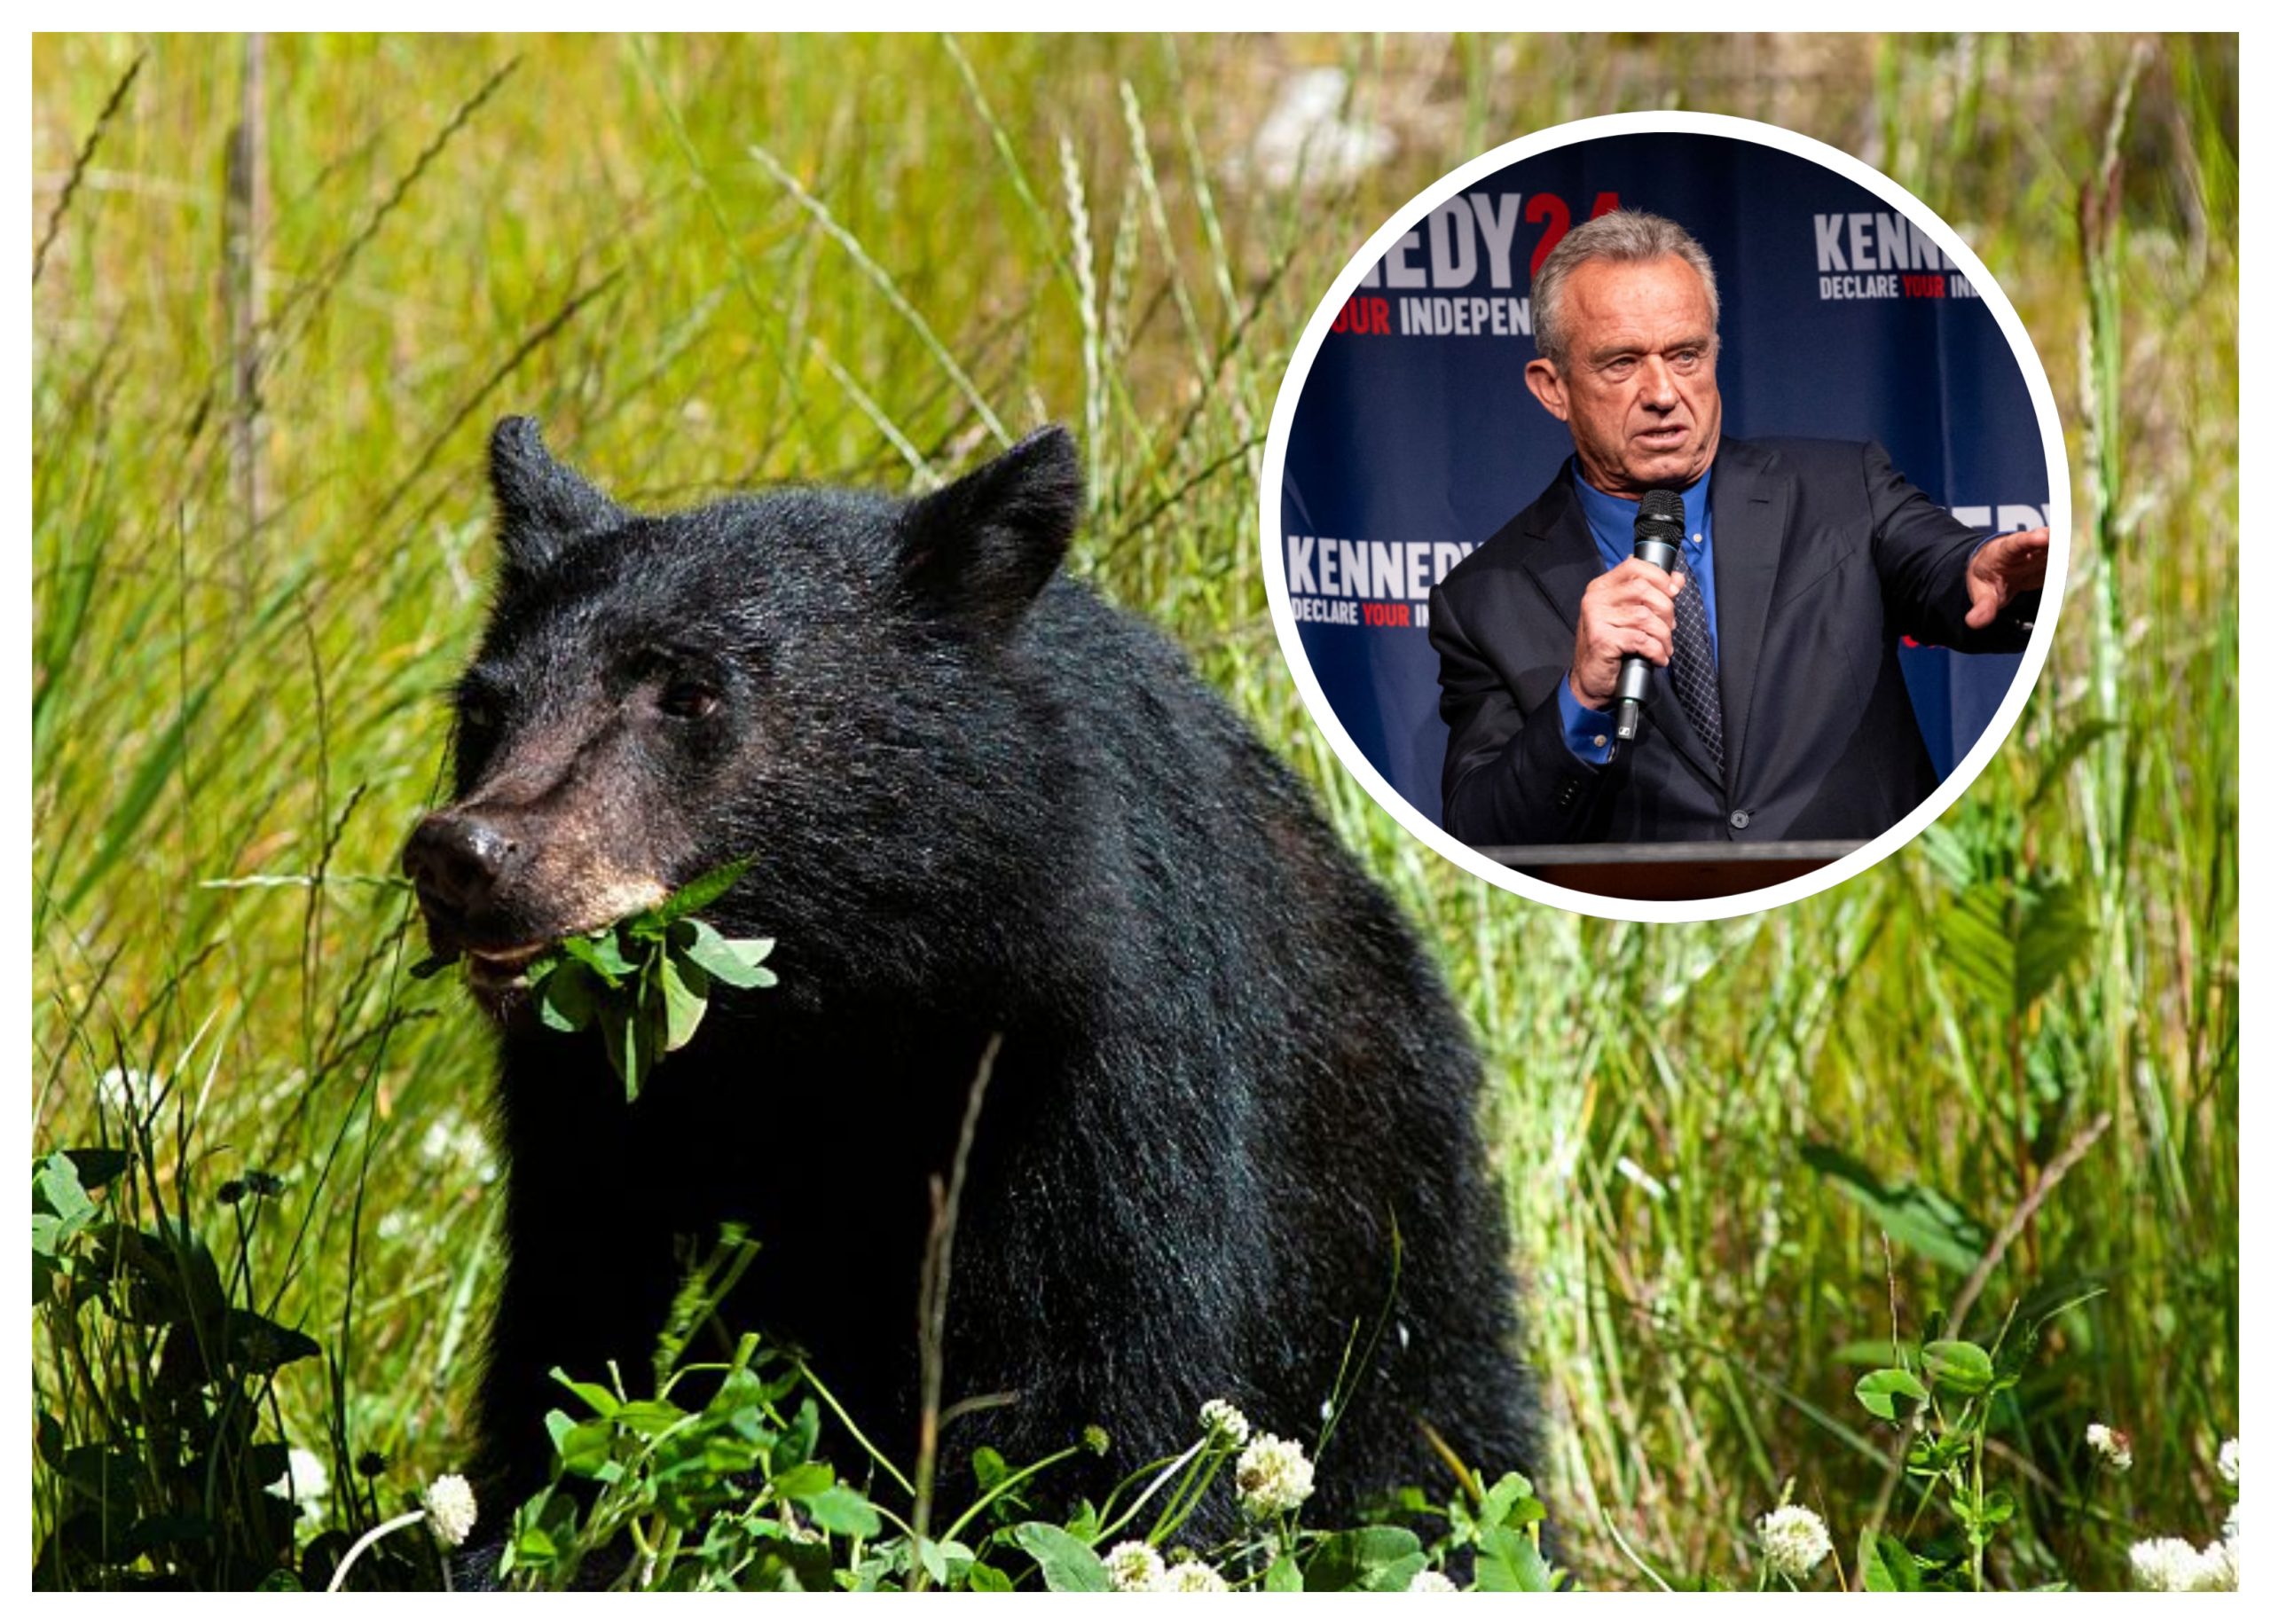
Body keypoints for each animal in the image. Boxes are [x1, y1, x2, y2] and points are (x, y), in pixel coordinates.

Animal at [402, 416, 1545, 1559]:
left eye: (688, 692)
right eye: (485, 706)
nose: (464, 855)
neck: (830, 1013)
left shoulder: (1104, 1073)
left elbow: (1105, 1391)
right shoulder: (591, 1106)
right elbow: (575, 1325)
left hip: (1397, 1251)